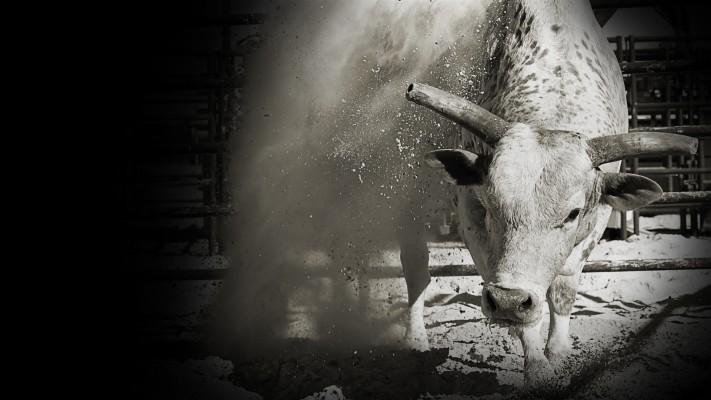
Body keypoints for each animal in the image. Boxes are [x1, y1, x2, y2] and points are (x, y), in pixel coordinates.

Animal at [396, 0, 697, 385]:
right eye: (491, 206)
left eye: (572, 213)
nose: (507, 300)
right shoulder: (469, 218)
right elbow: (521, 306)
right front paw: (537, 364)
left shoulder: (598, 218)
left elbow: (563, 290)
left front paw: (559, 350)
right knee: (416, 267)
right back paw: (415, 339)